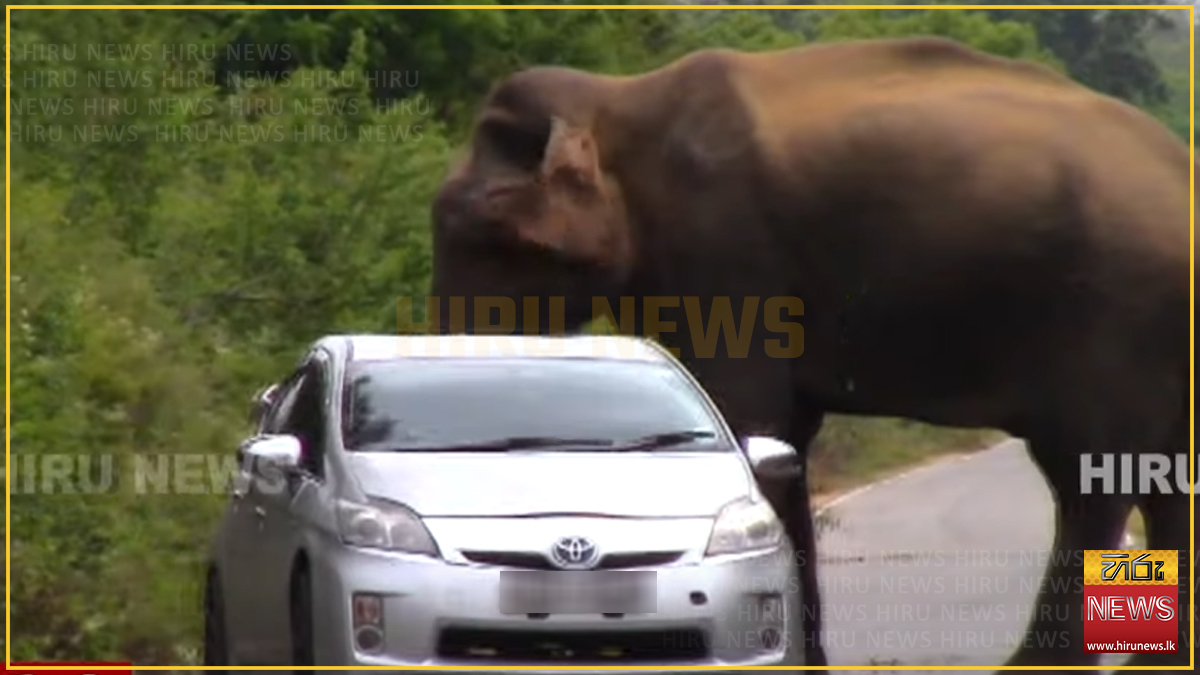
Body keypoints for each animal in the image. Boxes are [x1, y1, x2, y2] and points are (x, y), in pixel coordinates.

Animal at [428, 36, 1192, 674]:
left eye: (480, 232)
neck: (619, 99)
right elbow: (780, 439)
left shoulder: (725, 249)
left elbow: (748, 423)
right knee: (1163, 483)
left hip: (1117, 312)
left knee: (1089, 478)